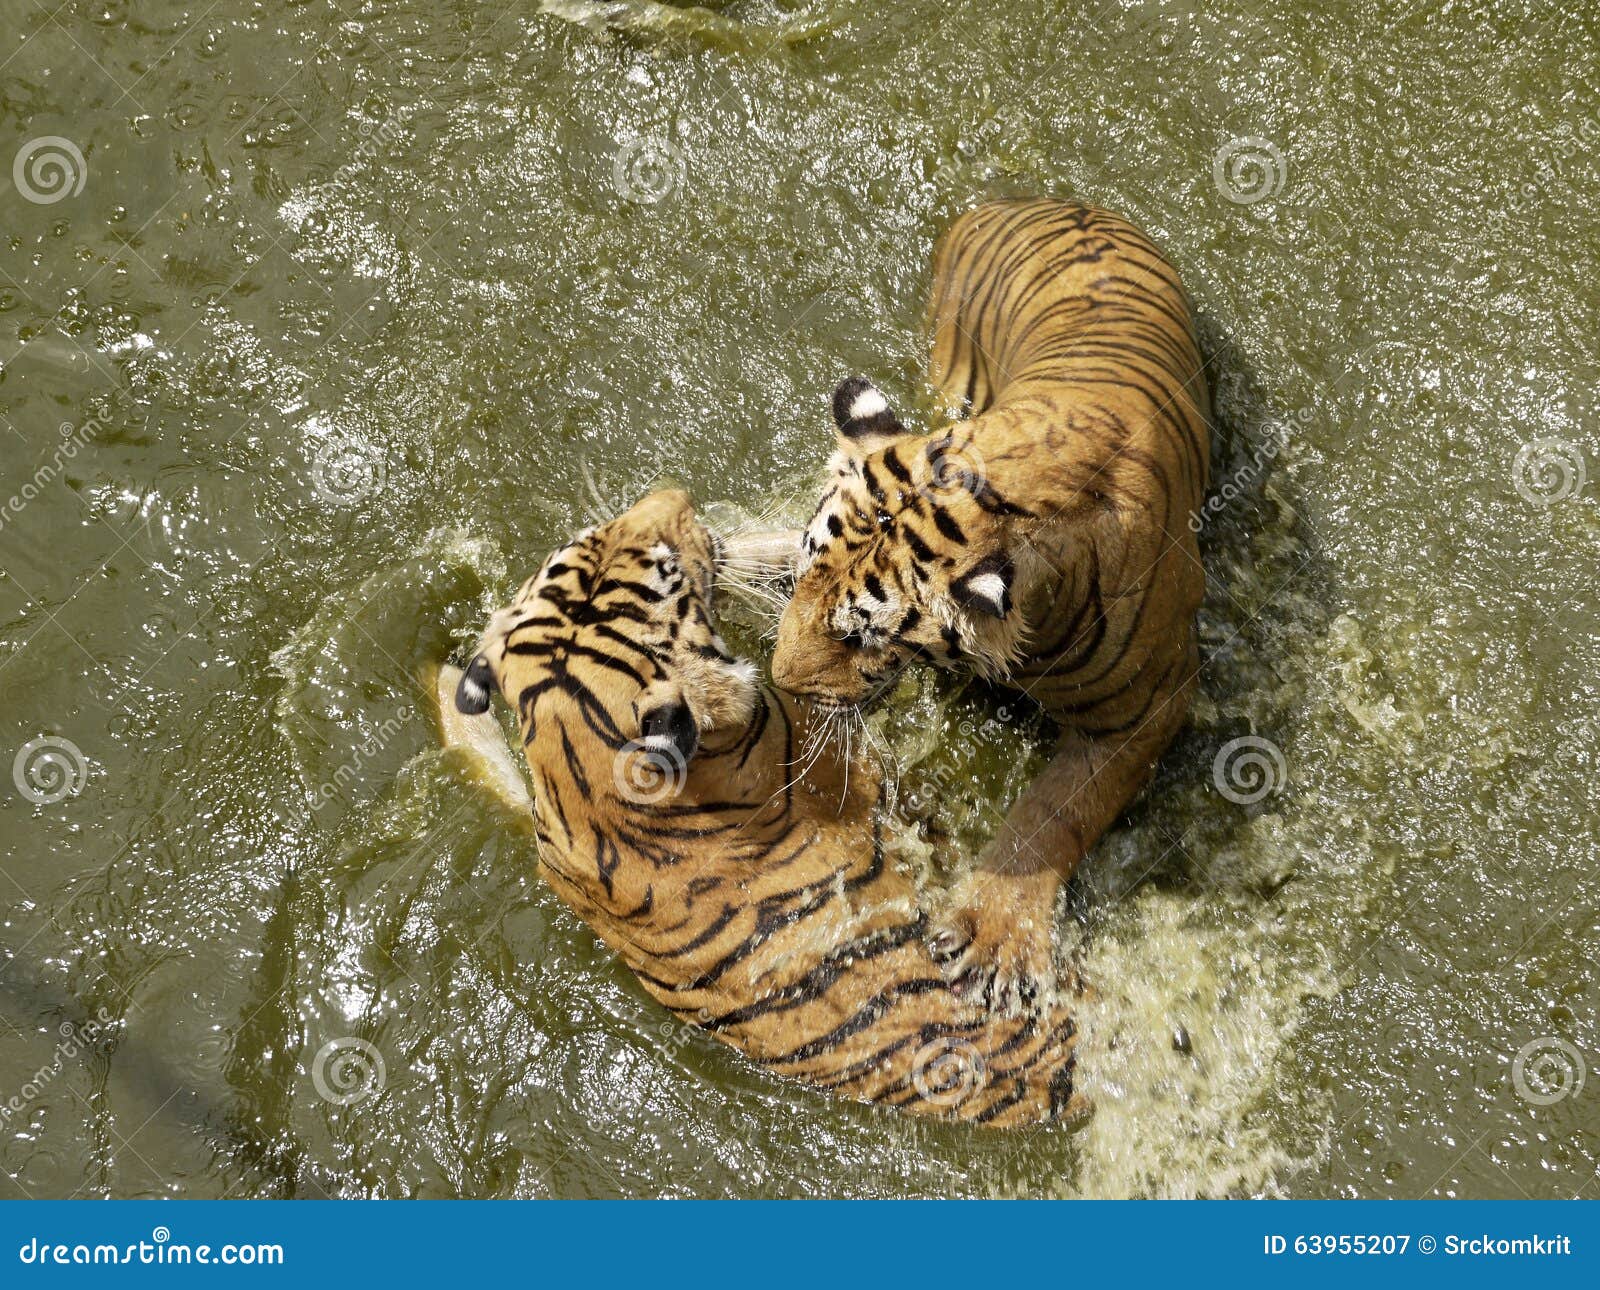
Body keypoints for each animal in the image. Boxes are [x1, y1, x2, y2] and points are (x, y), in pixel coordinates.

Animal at [770, 198, 1211, 1009]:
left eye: (861, 636)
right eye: (804, 570)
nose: (781, 679)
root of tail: (1044, 199)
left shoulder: (1151, 701)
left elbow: (1058, 811)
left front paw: (994, 940)